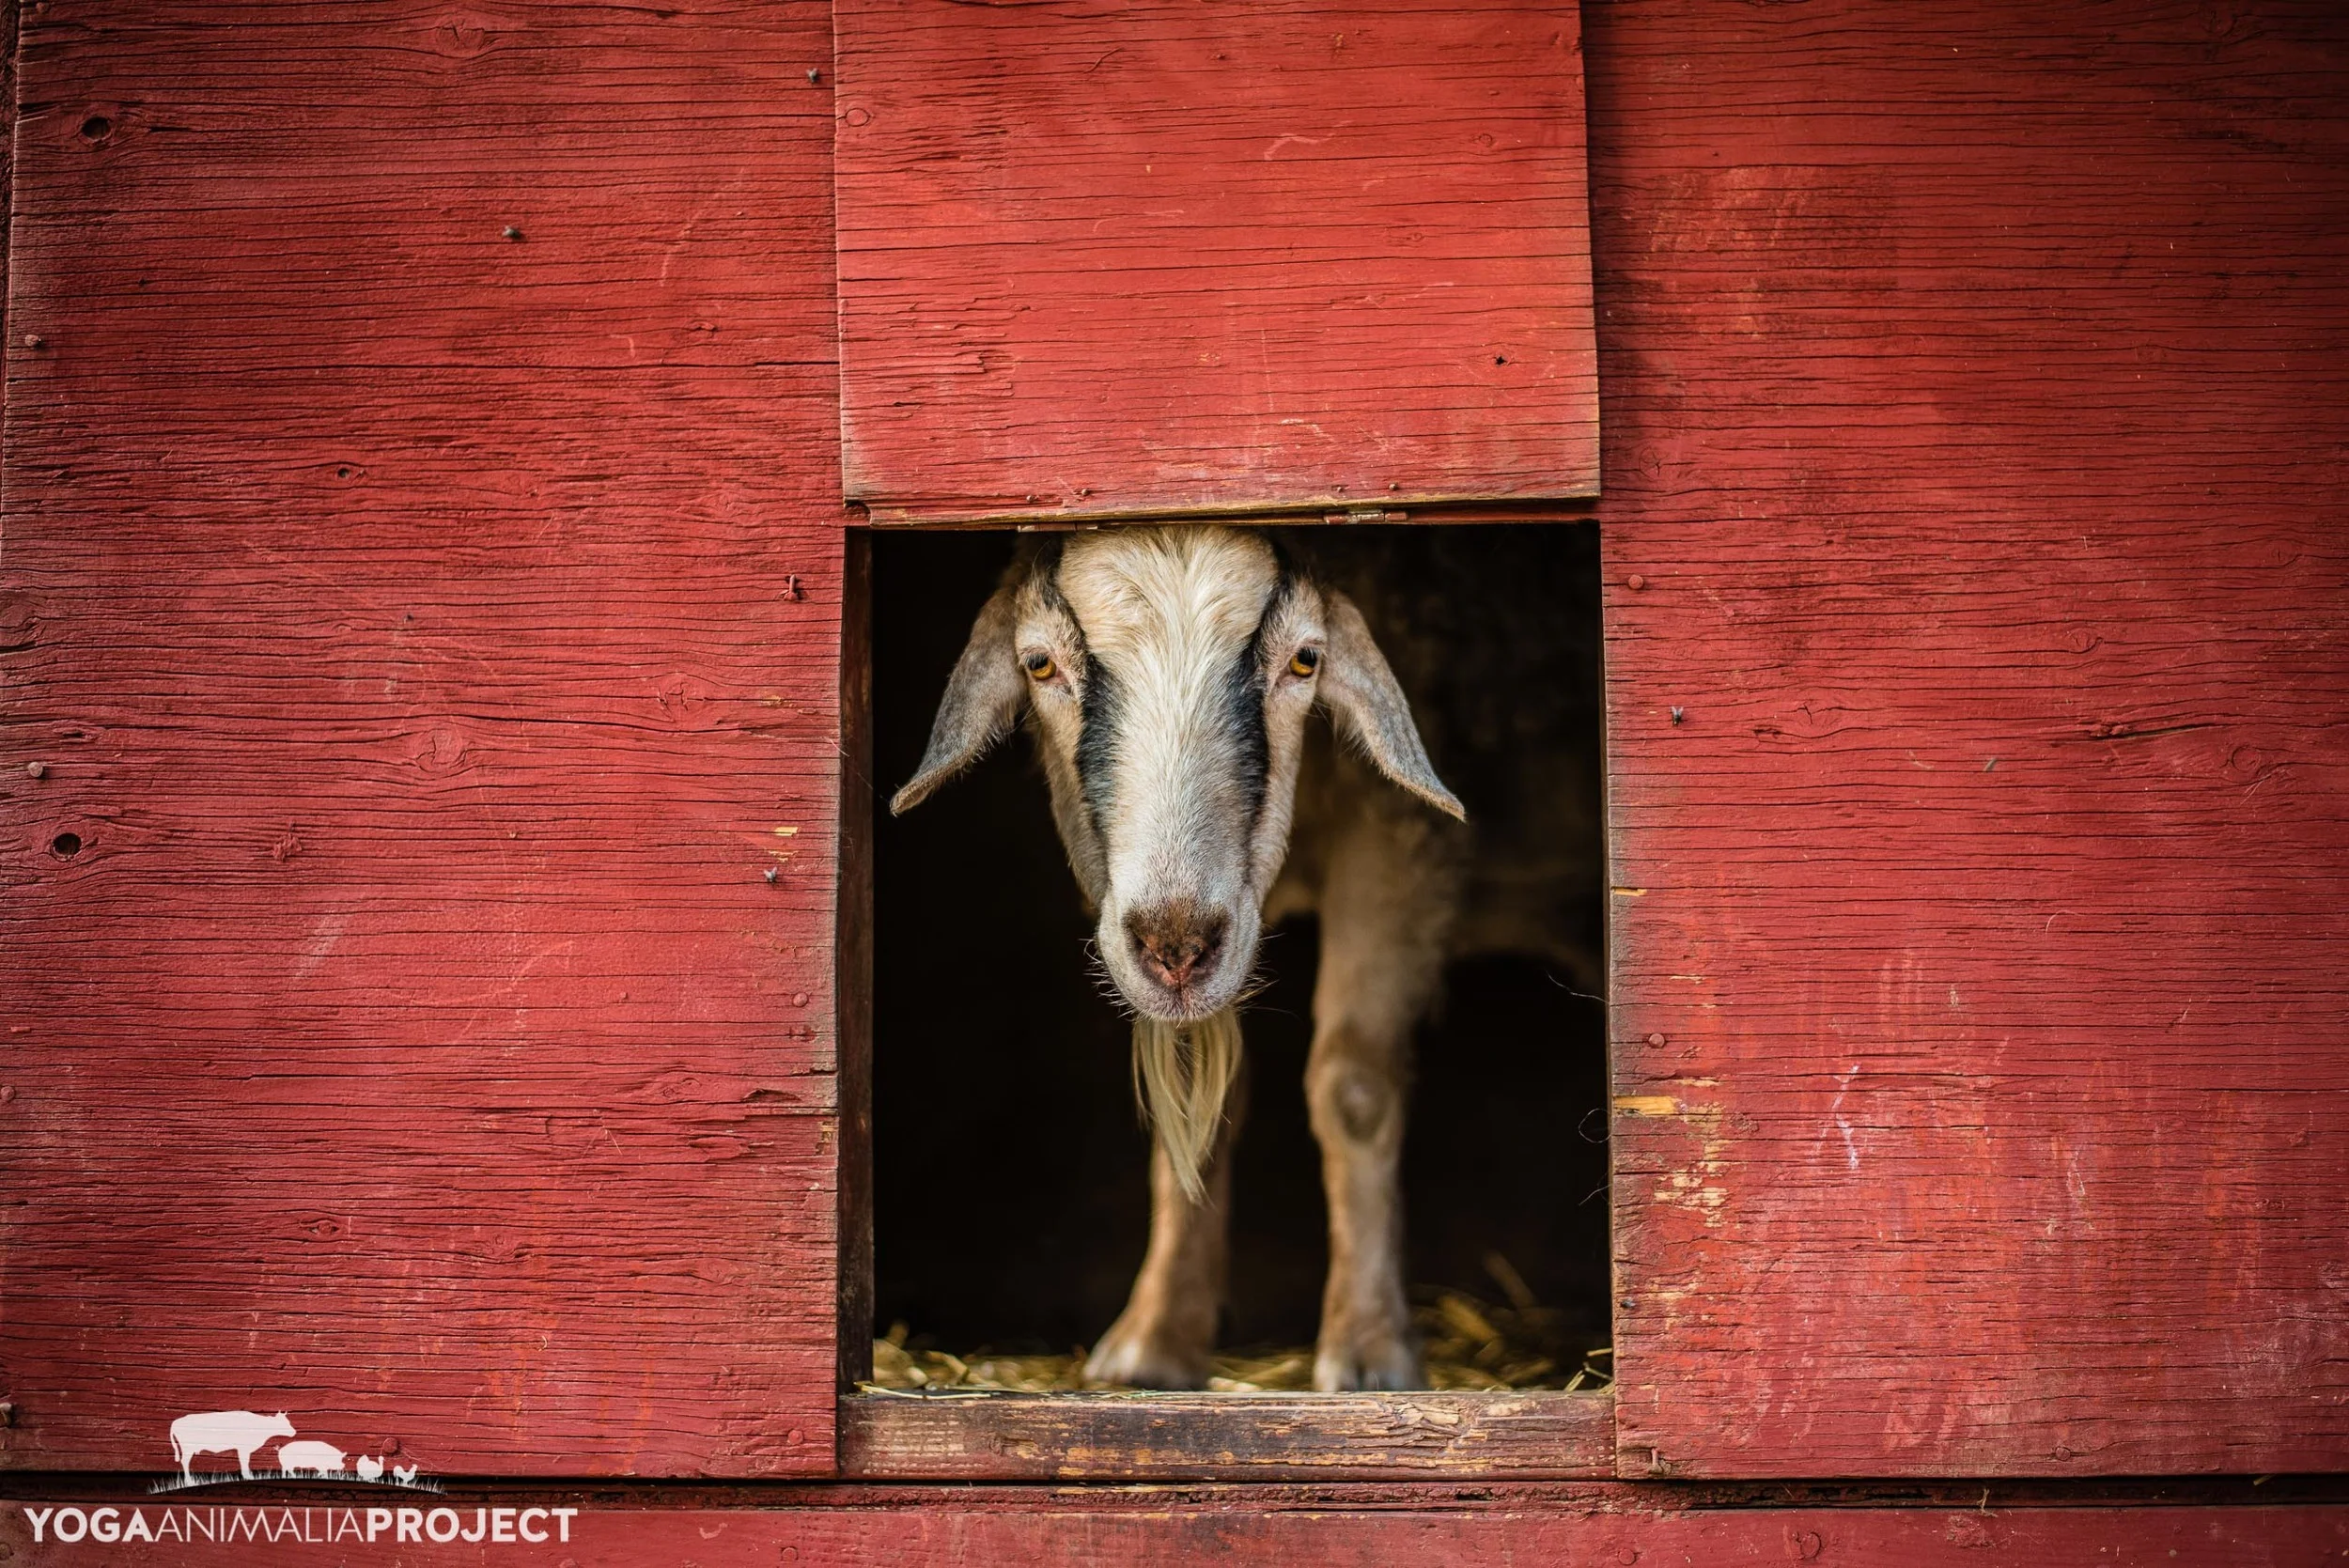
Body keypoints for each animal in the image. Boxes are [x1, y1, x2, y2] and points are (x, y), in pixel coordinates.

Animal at [894, 525, 1600, 1390]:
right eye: (1039, 664)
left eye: (1305, 659)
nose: (1175, 941)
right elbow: (1197, 1101)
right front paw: (1155, 1339)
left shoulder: (1398, 837)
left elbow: (1353, 1086)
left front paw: (1369, 1348)